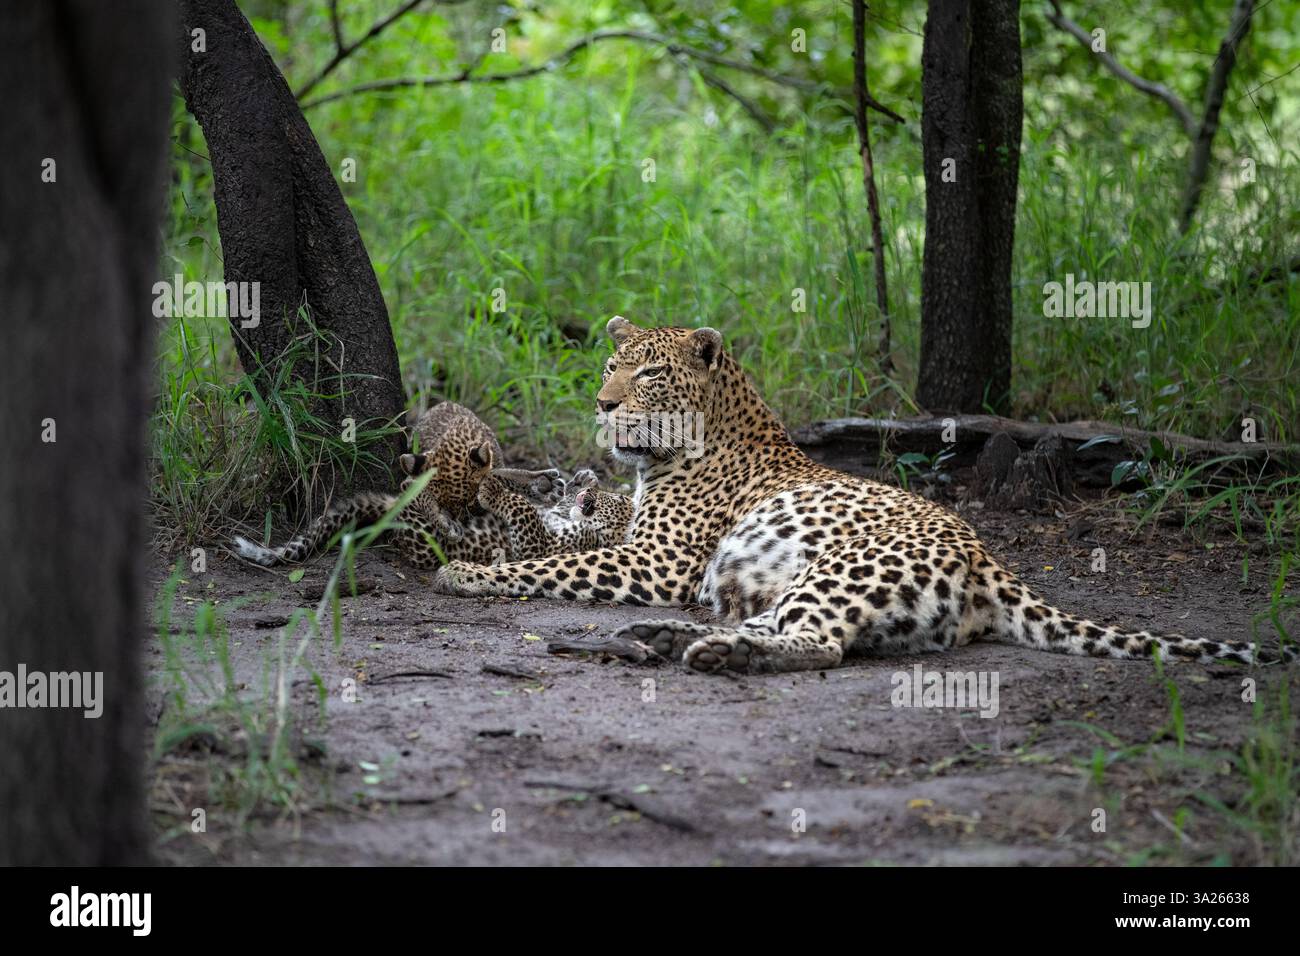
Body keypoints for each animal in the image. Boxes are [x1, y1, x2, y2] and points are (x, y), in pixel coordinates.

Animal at [432, 315, 1294, 674]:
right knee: (792, 628)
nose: (603, 405)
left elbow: (548, 566)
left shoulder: (655, 563)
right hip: (817, 588)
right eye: (609, 369)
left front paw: (464, 571)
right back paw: (672, 639)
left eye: (648, 374)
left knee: (821, 644)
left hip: (844, 568)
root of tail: (991, 564)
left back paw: (711, 652)